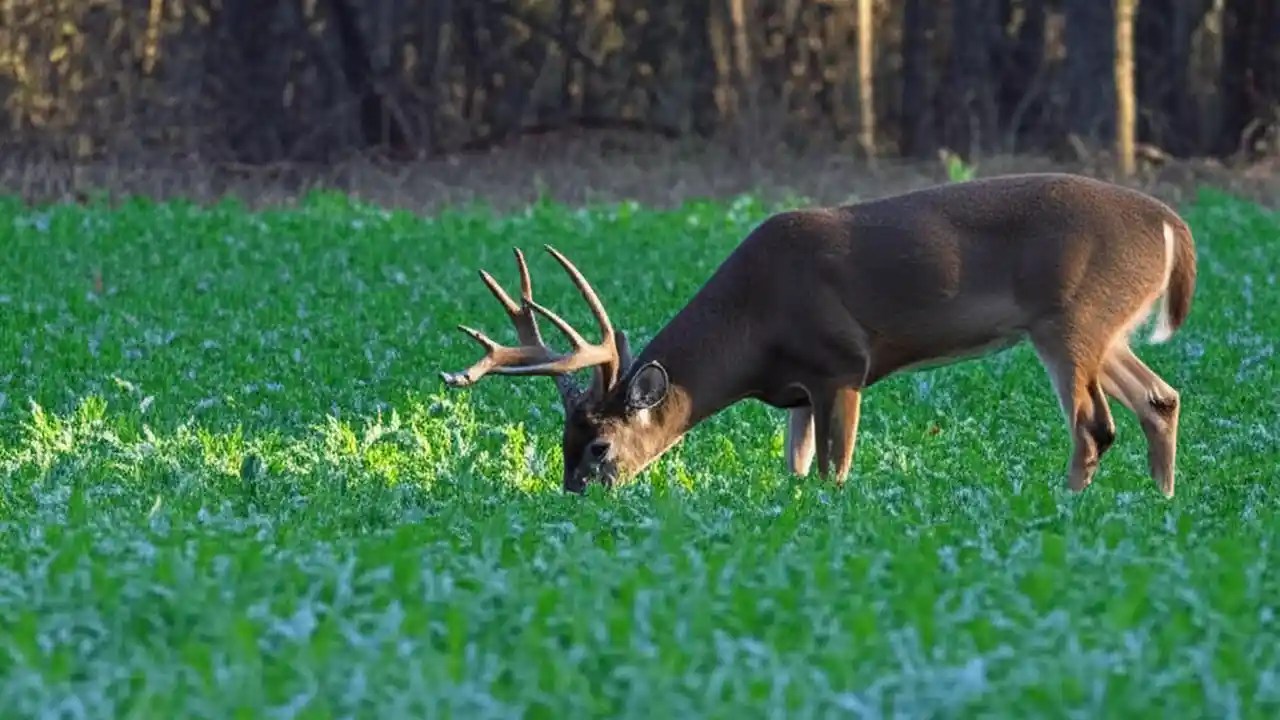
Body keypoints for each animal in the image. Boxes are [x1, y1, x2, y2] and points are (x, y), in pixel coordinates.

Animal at [439, 173, 1197, 498]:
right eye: (562, 442)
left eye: (598, 445)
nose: (574, 497)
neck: (754, 329)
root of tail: (1173, 223)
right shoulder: (798, 392)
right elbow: (796, 469)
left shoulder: (842, 365)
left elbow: (836, 468)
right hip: (1106, 328)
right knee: (1161, 399)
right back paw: (1161, 504)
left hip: (1069, 320)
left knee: (1095, 425)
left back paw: (1067, 508)